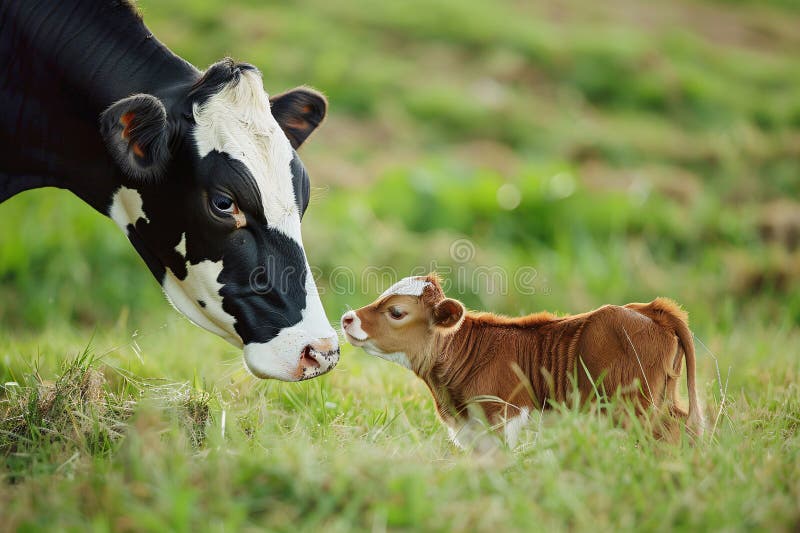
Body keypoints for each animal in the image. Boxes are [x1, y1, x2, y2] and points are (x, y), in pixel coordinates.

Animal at [341, 274, 705, 449]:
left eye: (396, 312)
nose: (346, 318)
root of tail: (652, 308)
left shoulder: (501, 415)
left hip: (632, 405)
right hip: (661, 399)